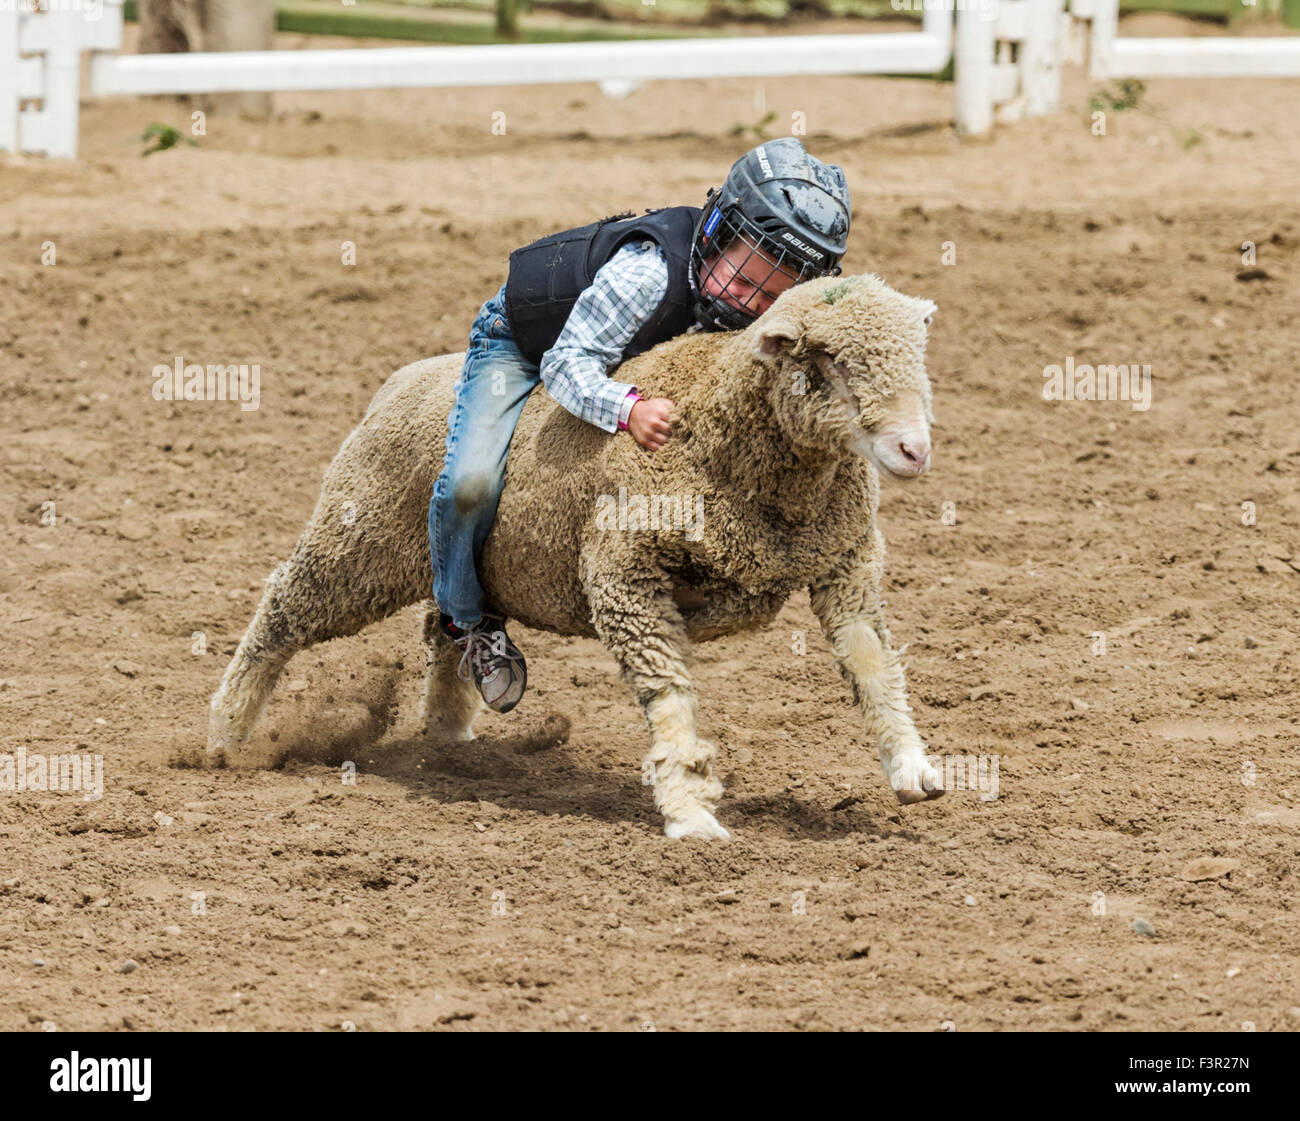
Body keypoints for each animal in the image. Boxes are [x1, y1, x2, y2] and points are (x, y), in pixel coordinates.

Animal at [207, 272, 945, 839]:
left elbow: (873, 665)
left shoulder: (847, 565)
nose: (914, 450)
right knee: (283, 608)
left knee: (446, 625)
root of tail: (399, 380)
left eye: (918, 355)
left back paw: (450, 739)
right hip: (357, 544)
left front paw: (913, 768)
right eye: (832, 362)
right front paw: (690, 812)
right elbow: (669, 691)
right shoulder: (624, 574)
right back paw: (224, 735)